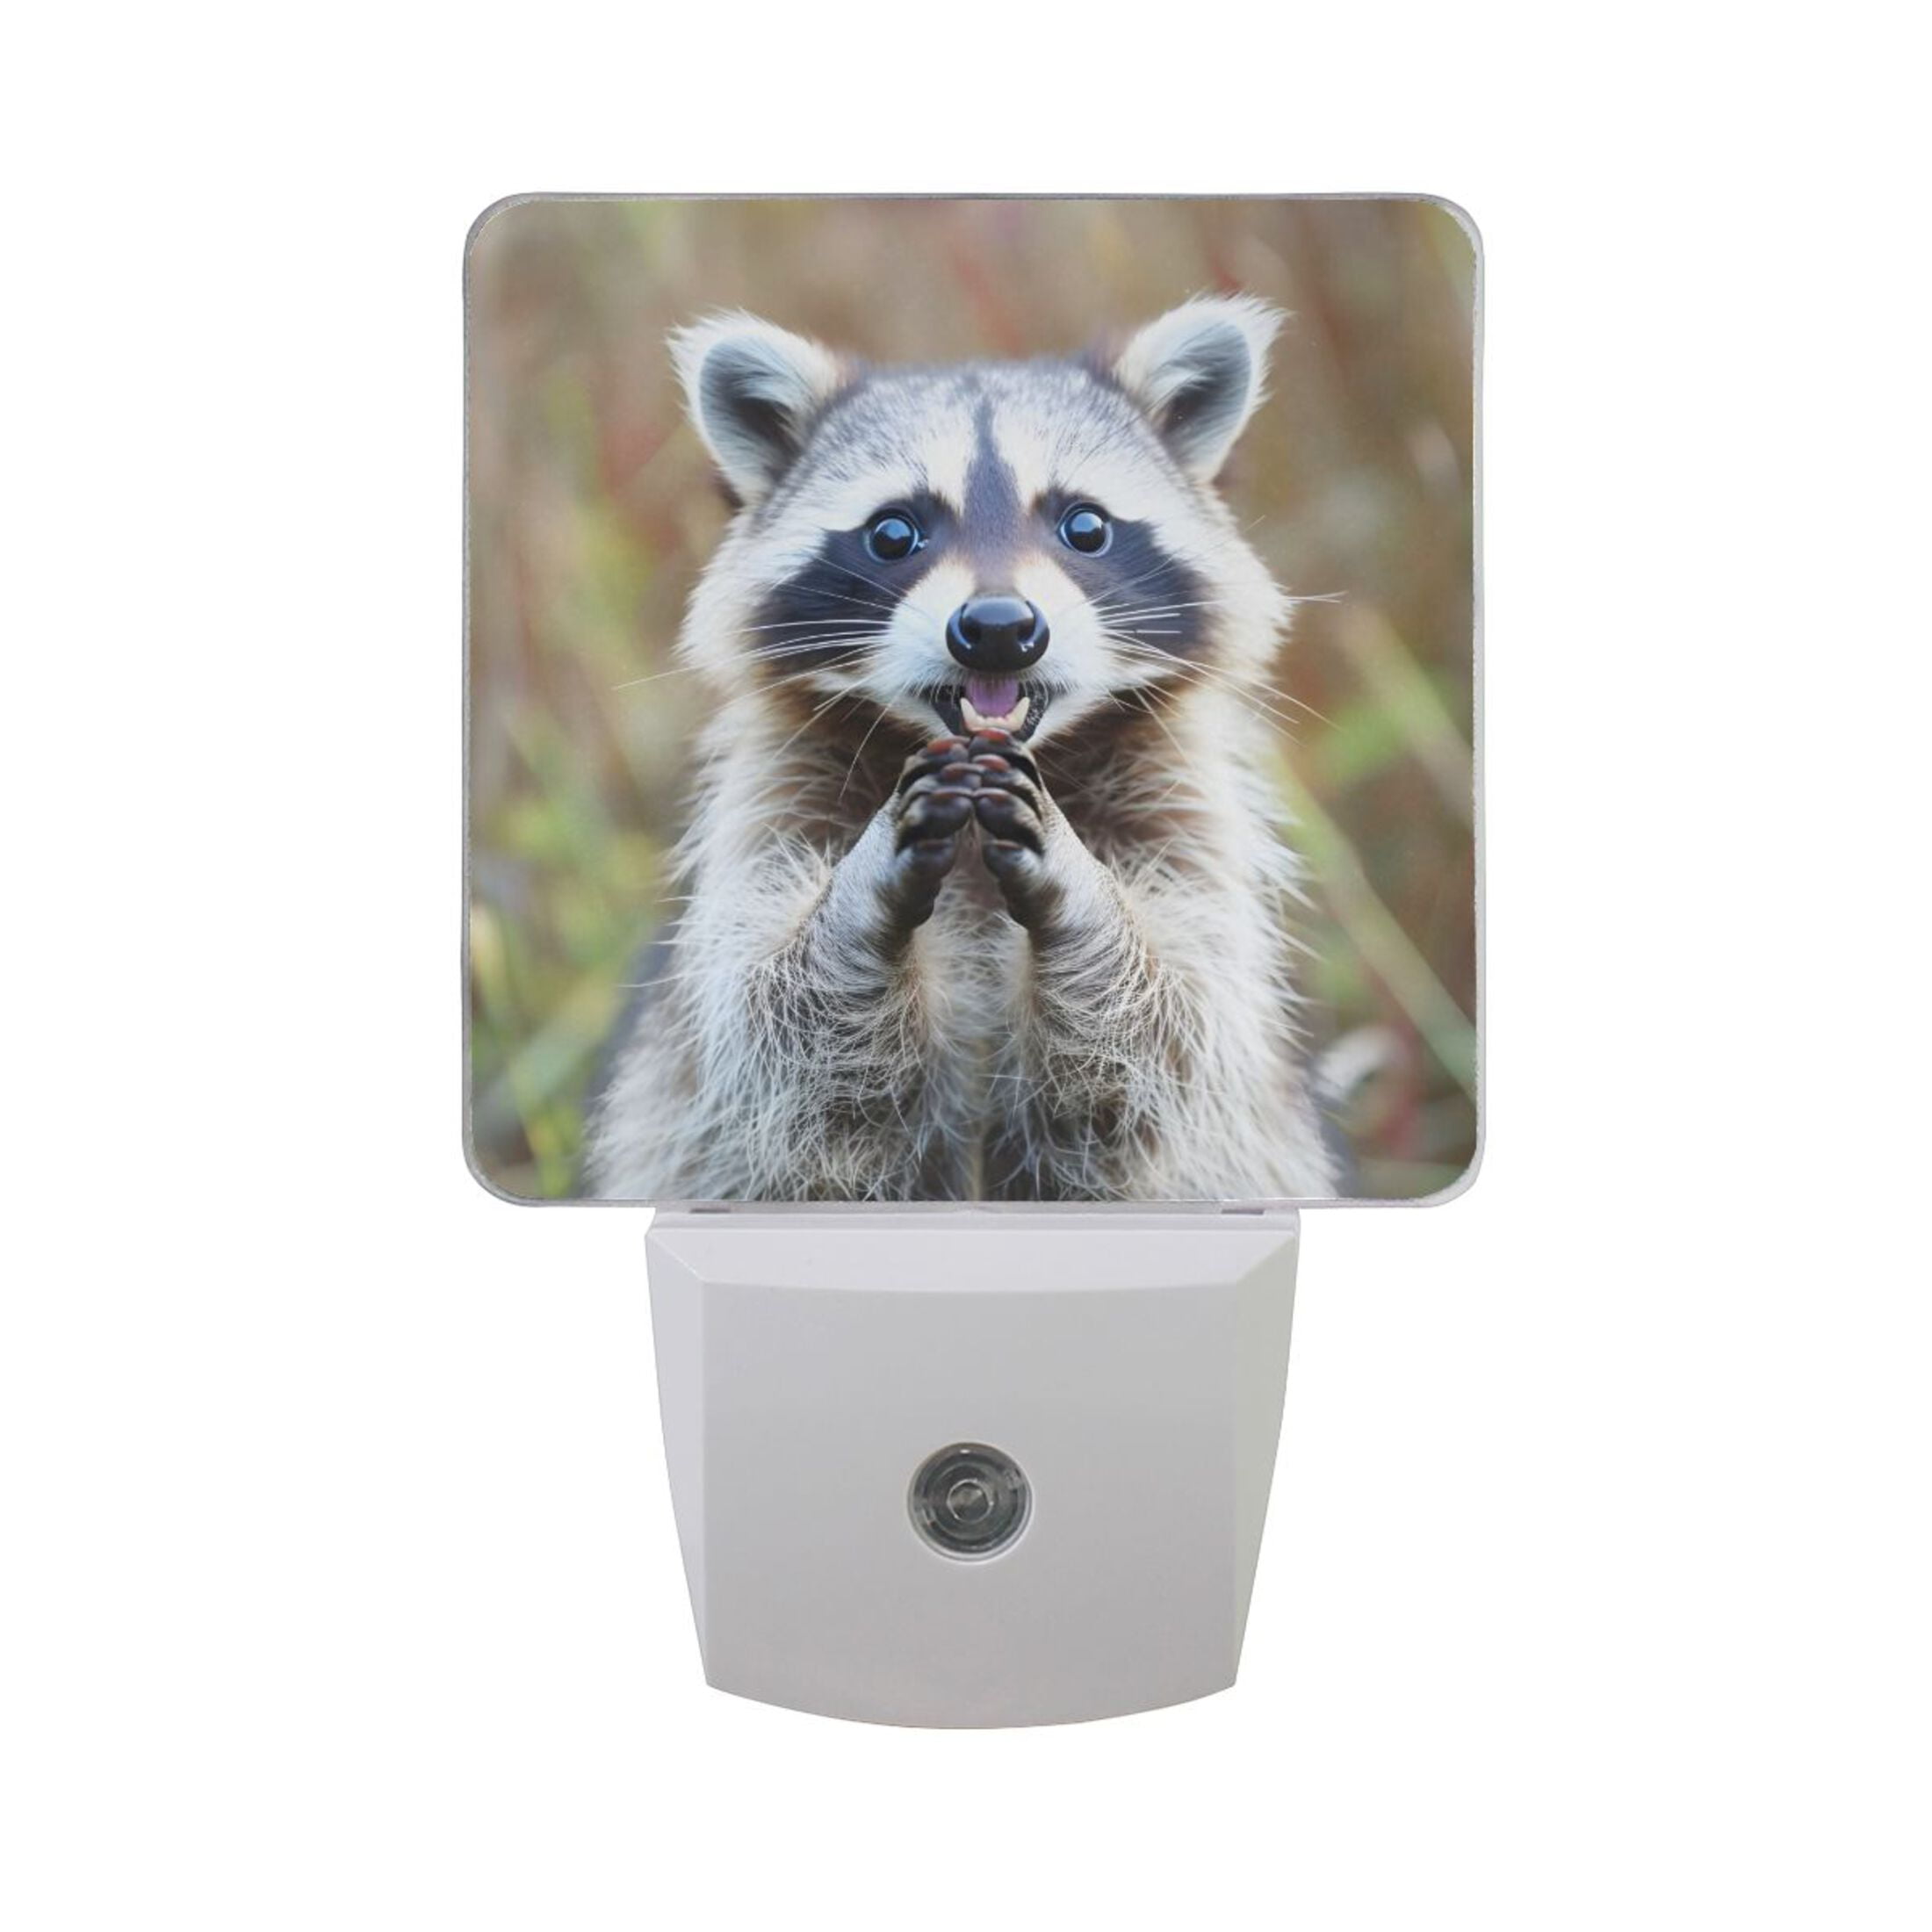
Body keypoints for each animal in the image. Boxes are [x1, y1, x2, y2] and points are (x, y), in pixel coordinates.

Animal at [586, 297, 1341, 1202]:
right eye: (893, 532)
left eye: (1085, 525)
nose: (999, 627)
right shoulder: (772, 813)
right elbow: (784, 1048)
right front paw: (856, 903)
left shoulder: (1182, 815)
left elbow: (1168, 1044)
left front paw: (1085, 900)